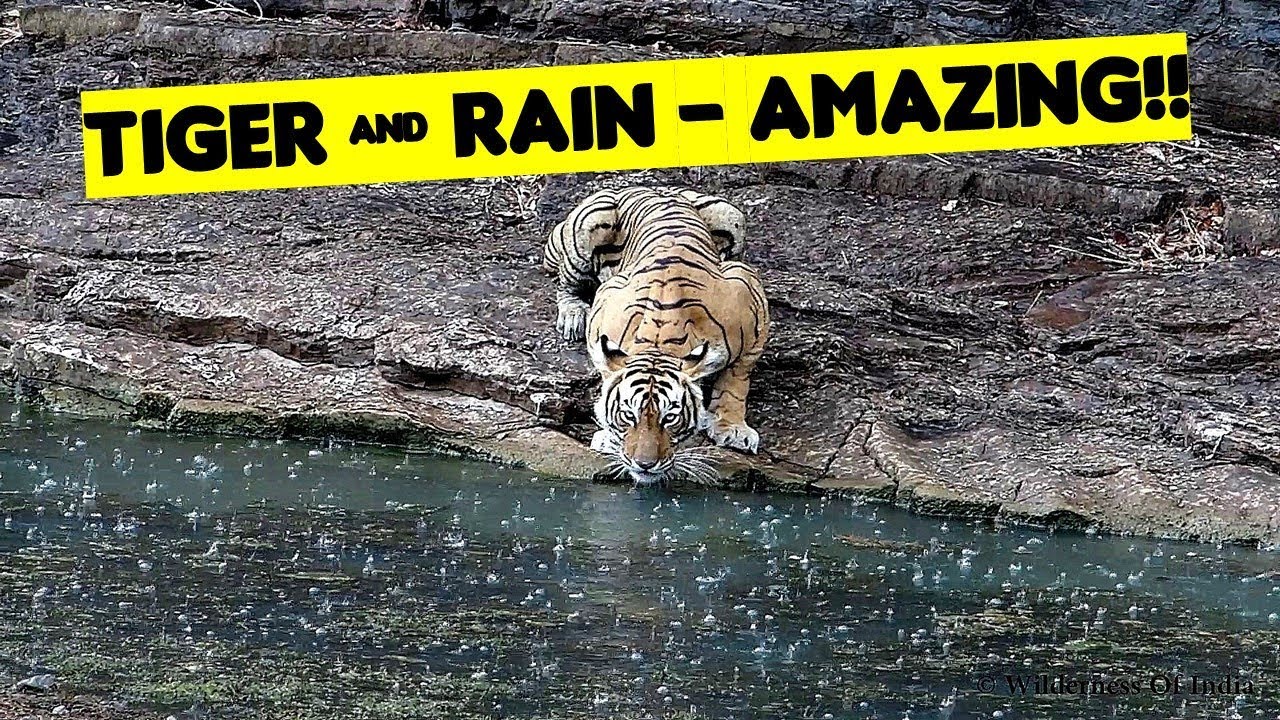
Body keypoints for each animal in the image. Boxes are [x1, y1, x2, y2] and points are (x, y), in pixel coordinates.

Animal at [542, 185, 770, 486]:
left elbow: (736, 380)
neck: (661, 343)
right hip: (589, 226)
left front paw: (732, 428)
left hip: (731, 215)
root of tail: (651, 187)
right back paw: (573, 315)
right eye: (628, 415)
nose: (644, 464)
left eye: (669, 417)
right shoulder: (605, 304)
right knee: (566, 283)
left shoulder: (751, 301)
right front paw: (608, 437)